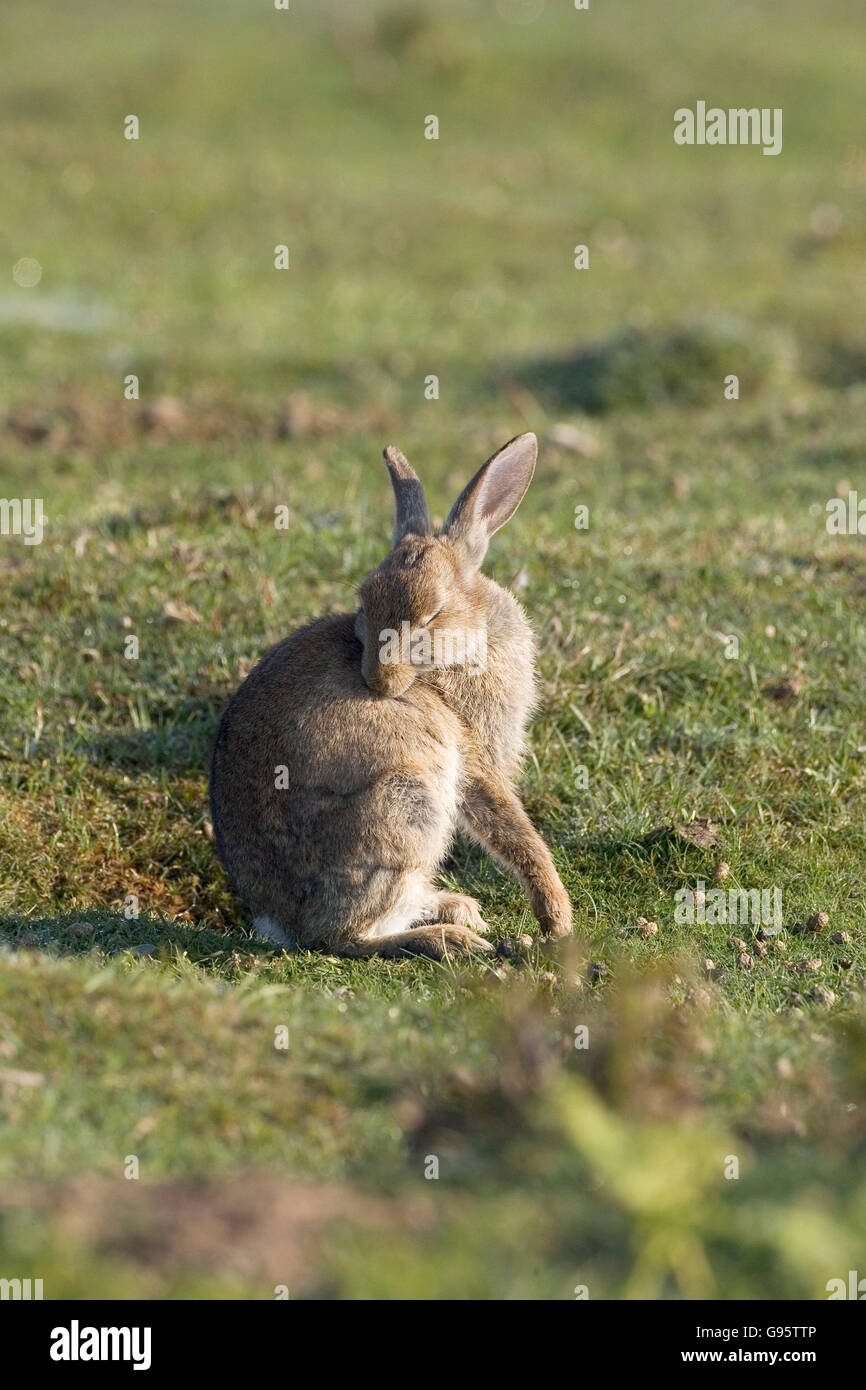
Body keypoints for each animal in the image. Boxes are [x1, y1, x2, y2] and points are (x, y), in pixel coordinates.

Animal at [209, 432, 573, 958]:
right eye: (365, 602)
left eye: (434, 613)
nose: (378, 682)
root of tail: (281, 921)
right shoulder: (476, 758)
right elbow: (513, 830)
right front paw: (558, 919)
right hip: (404, 806)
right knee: (344, 938)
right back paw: (451, 938)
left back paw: (457, 909)